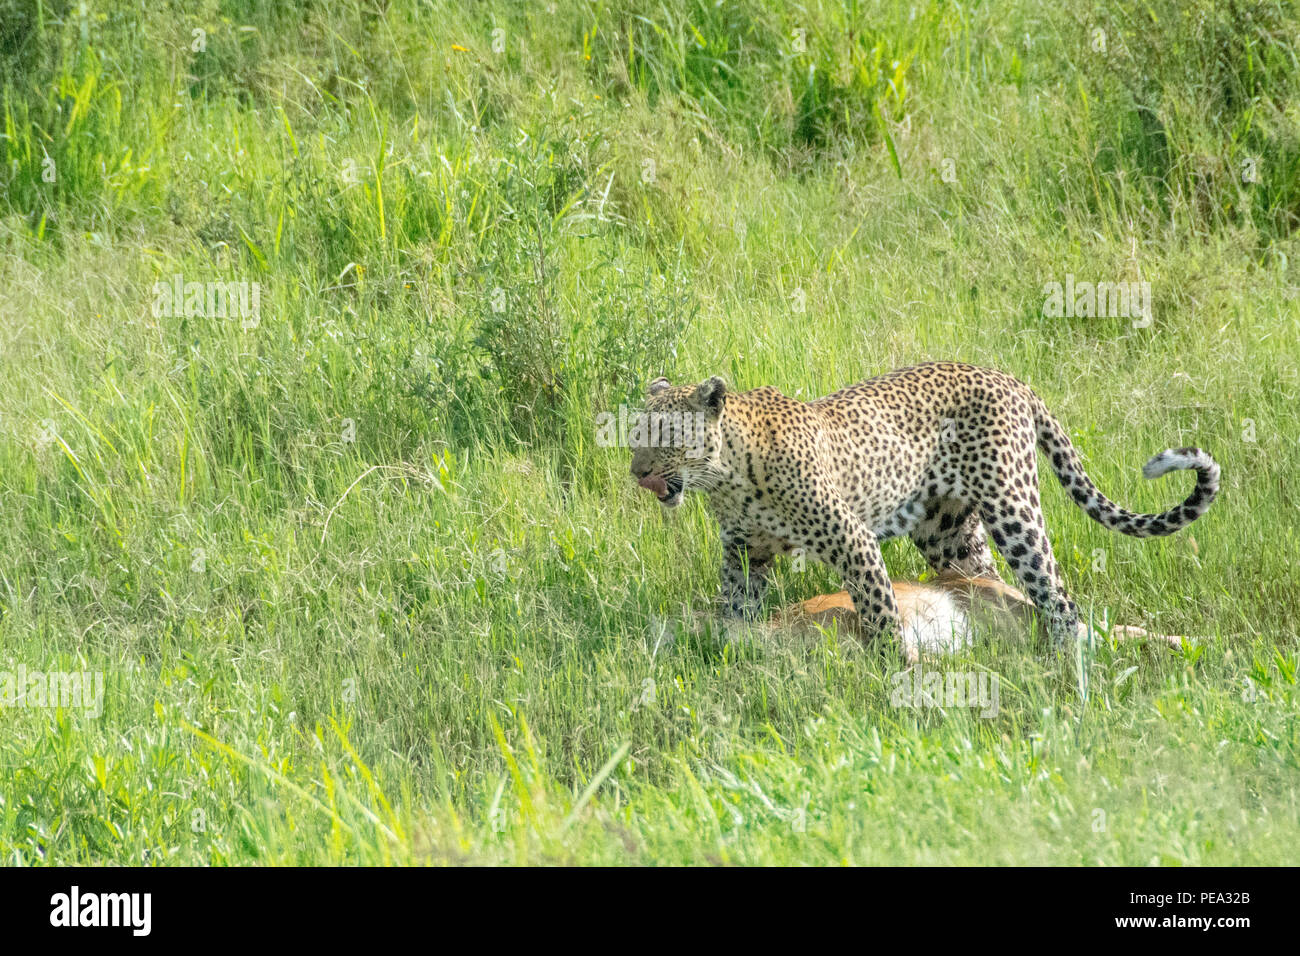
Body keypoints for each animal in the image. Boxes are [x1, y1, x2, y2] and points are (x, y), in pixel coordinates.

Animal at [628, 362, 1220, 648]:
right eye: (635, 434)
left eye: (667, 436)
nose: (638, 474)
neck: (725, 477)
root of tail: (1010, 378)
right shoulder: (744, 557)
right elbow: (738, 608)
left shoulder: (853, 540)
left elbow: (880, 612)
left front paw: (895, 674)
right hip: (951, 536)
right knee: (996, 593)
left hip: (1013, 510)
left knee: (1061, 604)